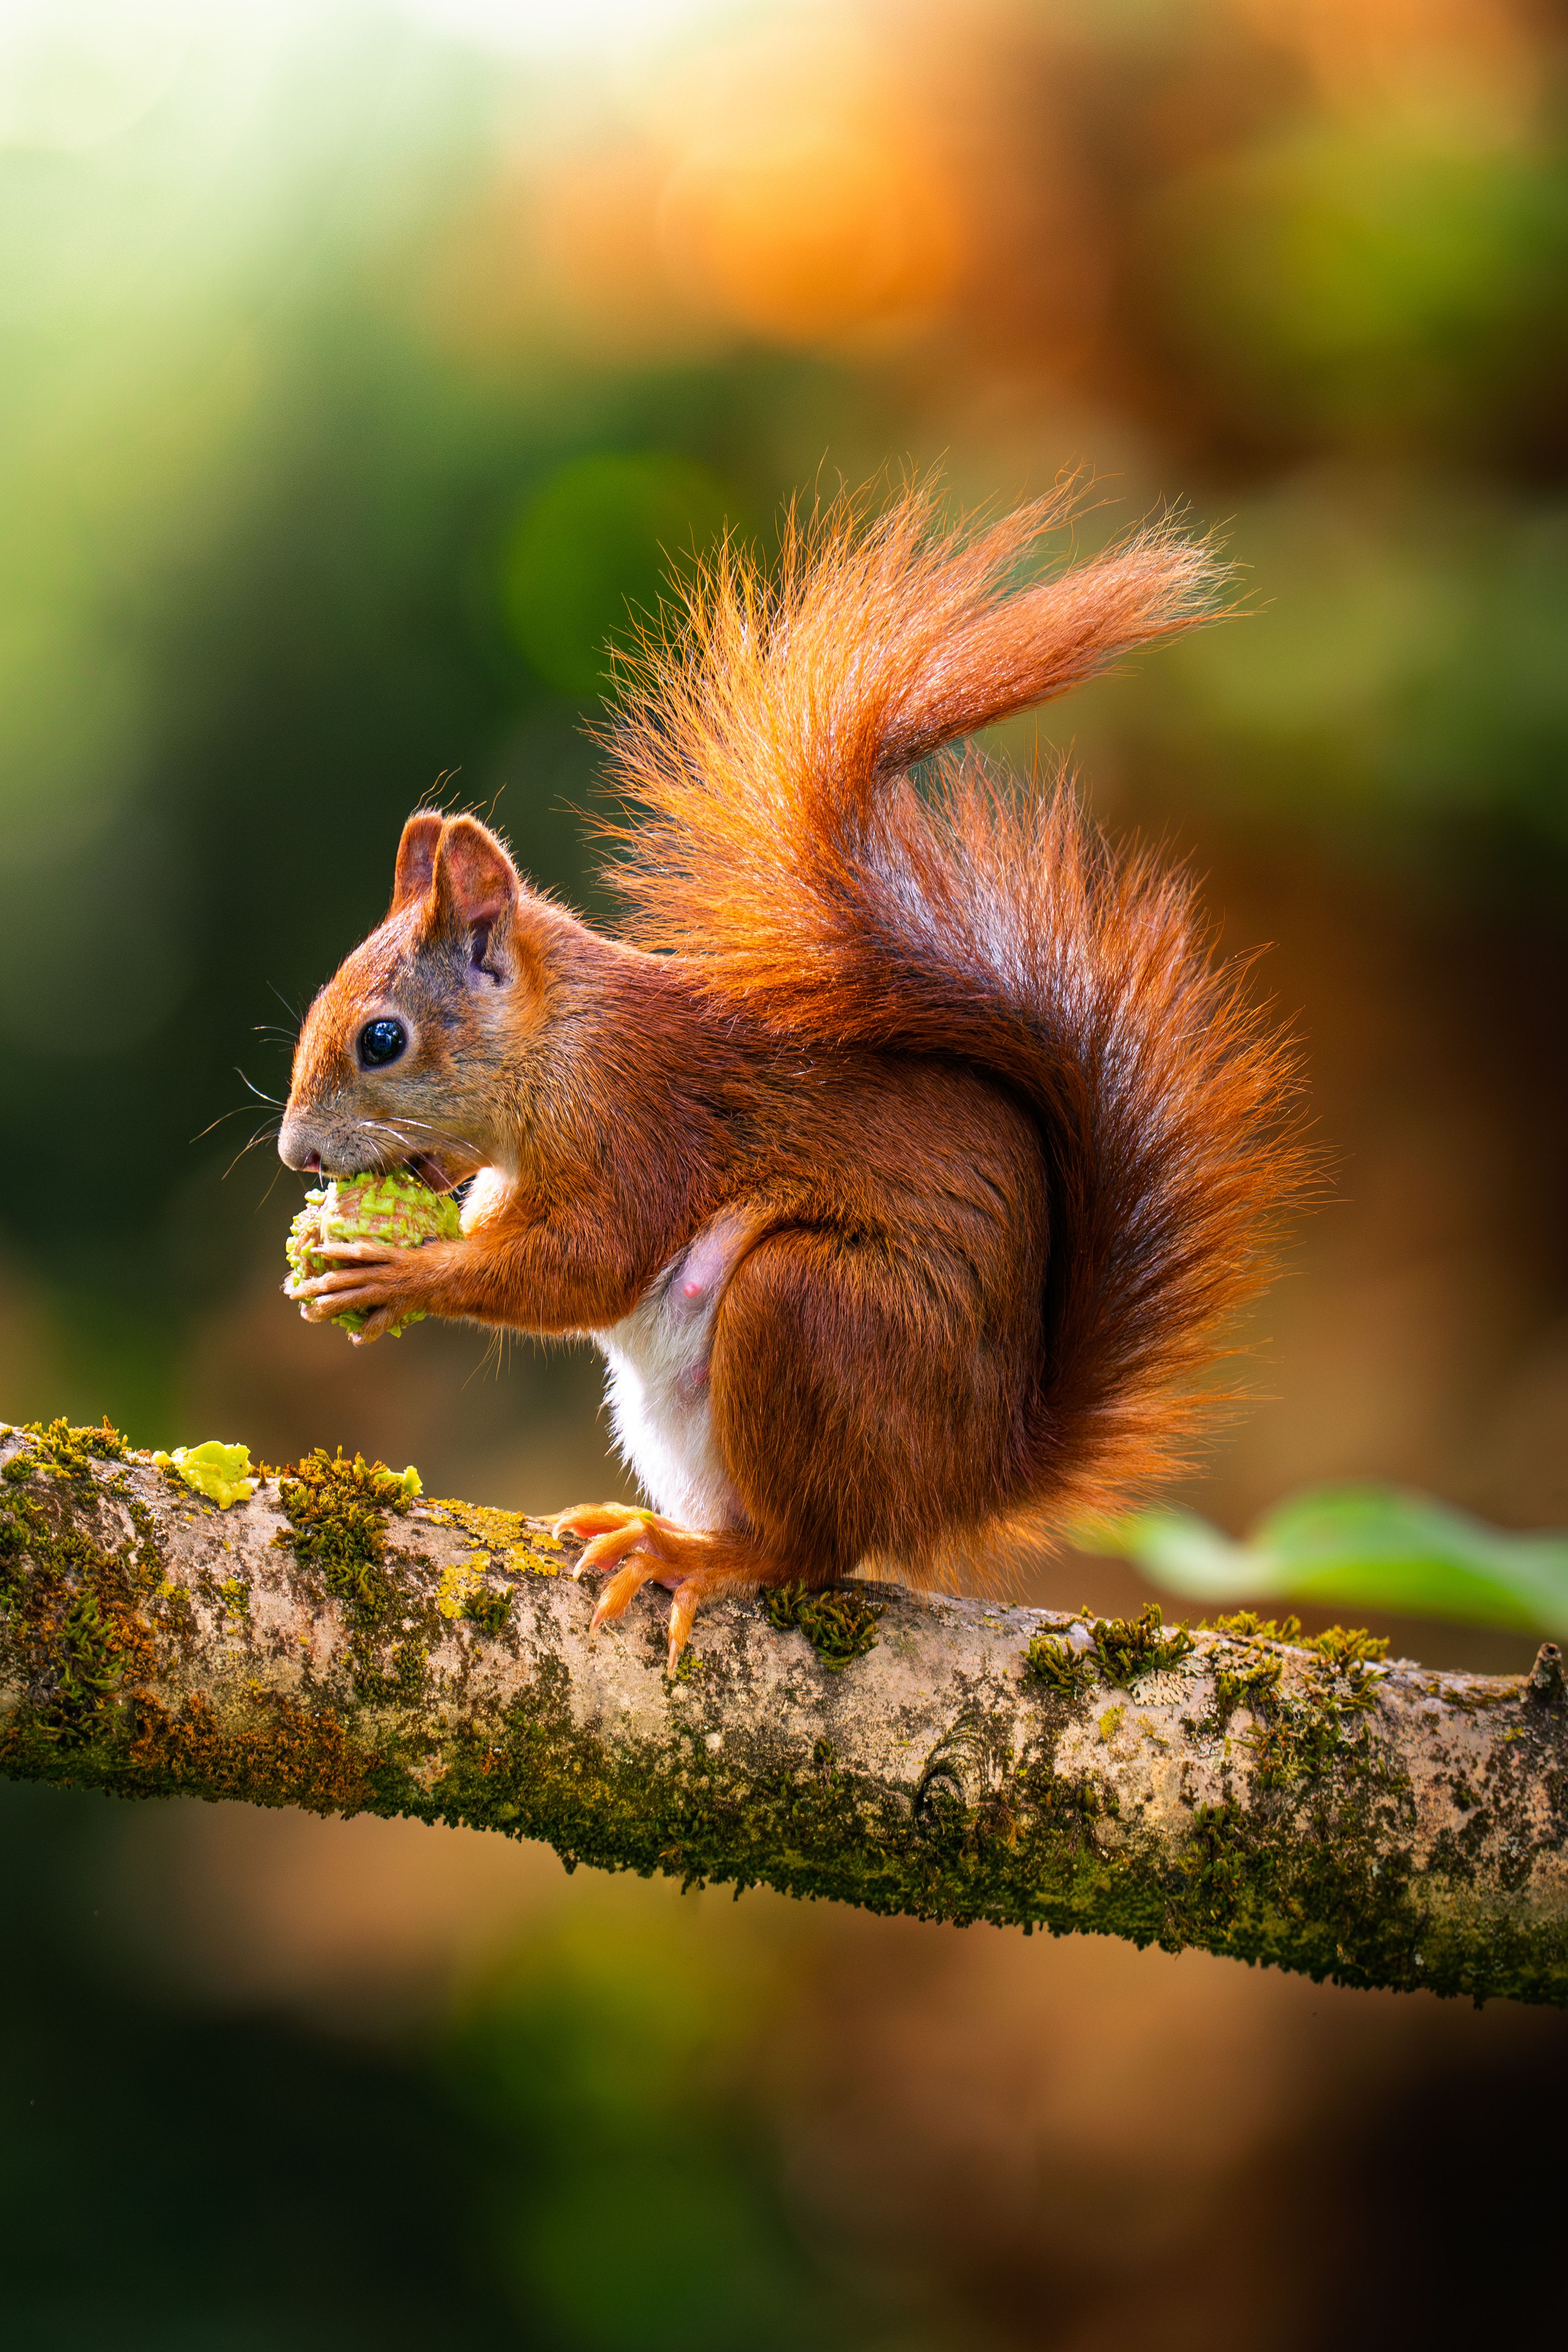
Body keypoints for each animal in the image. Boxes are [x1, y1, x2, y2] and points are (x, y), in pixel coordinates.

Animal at [280, 483, 1304, 1667]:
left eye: (382, 1039)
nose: (296, 1153)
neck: (559, 1045)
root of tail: (974, 1476)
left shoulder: (641, 1122)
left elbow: (587, 1264)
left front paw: (397, 1274)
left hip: (809, 1313)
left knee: (809, 1548)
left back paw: (700, 1555)